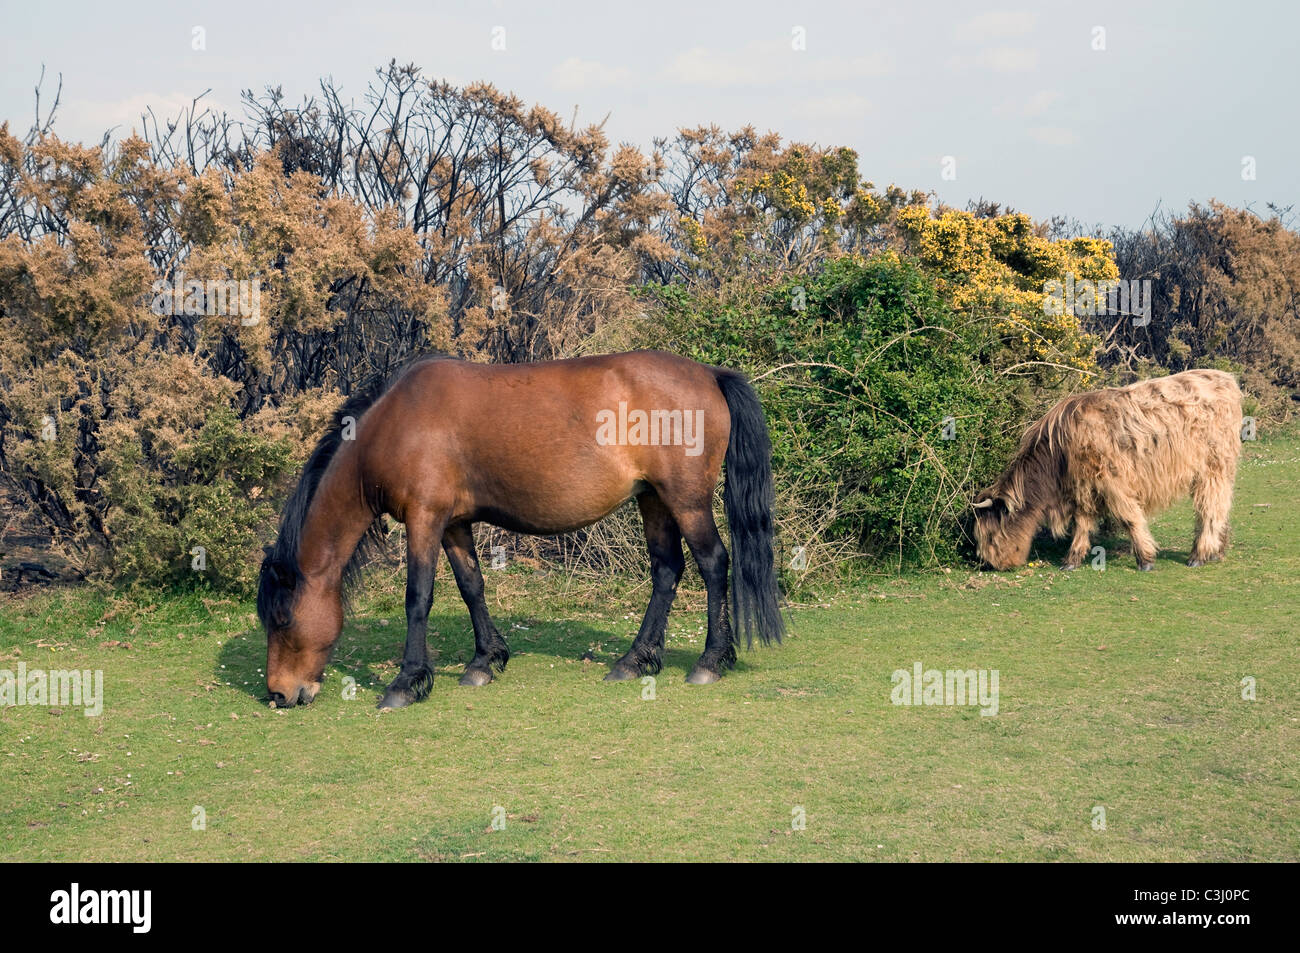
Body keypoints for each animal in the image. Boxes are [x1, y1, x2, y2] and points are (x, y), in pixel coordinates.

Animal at [256, 350, 785, 709]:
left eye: (281, 619)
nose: (279, 694)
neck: (397, 424)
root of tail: (709, 374)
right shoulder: (454, 524)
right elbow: (471, 586)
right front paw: (485, 661)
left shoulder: (424, 519)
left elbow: (418, 598)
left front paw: (407, 682)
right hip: (653, 498)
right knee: (667, 570)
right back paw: (635, 660)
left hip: (686, 501)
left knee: (713, 564)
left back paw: (710, 661)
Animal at [972, 369, 1243, 572]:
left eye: (991, 537)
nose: (993, 564)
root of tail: (1226, 380)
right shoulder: (1083, 487)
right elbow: (1082, 522)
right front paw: (1072, 559)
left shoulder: (1113, 481)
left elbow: (1129, 518)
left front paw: (1145, 559)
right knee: (1221, 504)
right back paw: (1217, 550)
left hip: (1213, 468)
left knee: (1210, 507)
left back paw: (1199, 554)